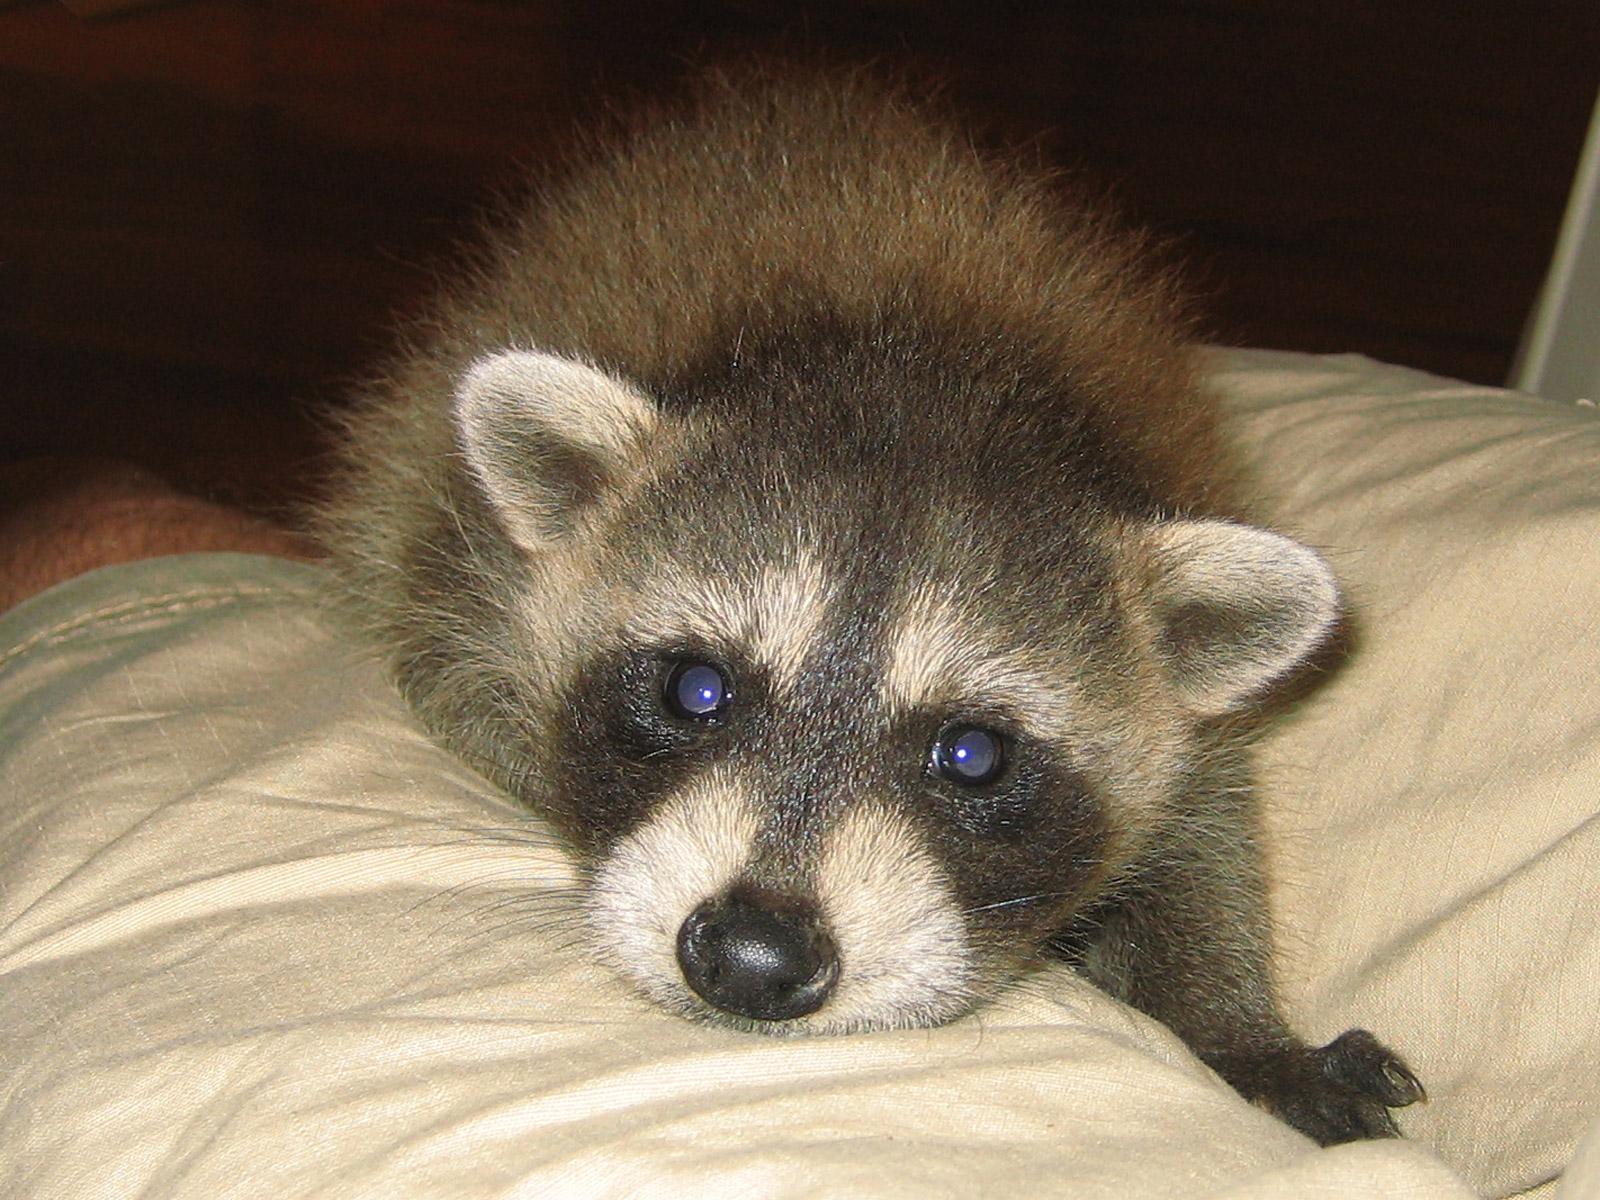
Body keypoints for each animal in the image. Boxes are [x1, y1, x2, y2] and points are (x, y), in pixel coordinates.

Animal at [315, 67, 1423, 1145]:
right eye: (694, 689)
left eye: (972, 755)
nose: (752, 957)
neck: (921, 364)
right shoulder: (457, 565)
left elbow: (1201, 841)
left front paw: (1236, 1026)